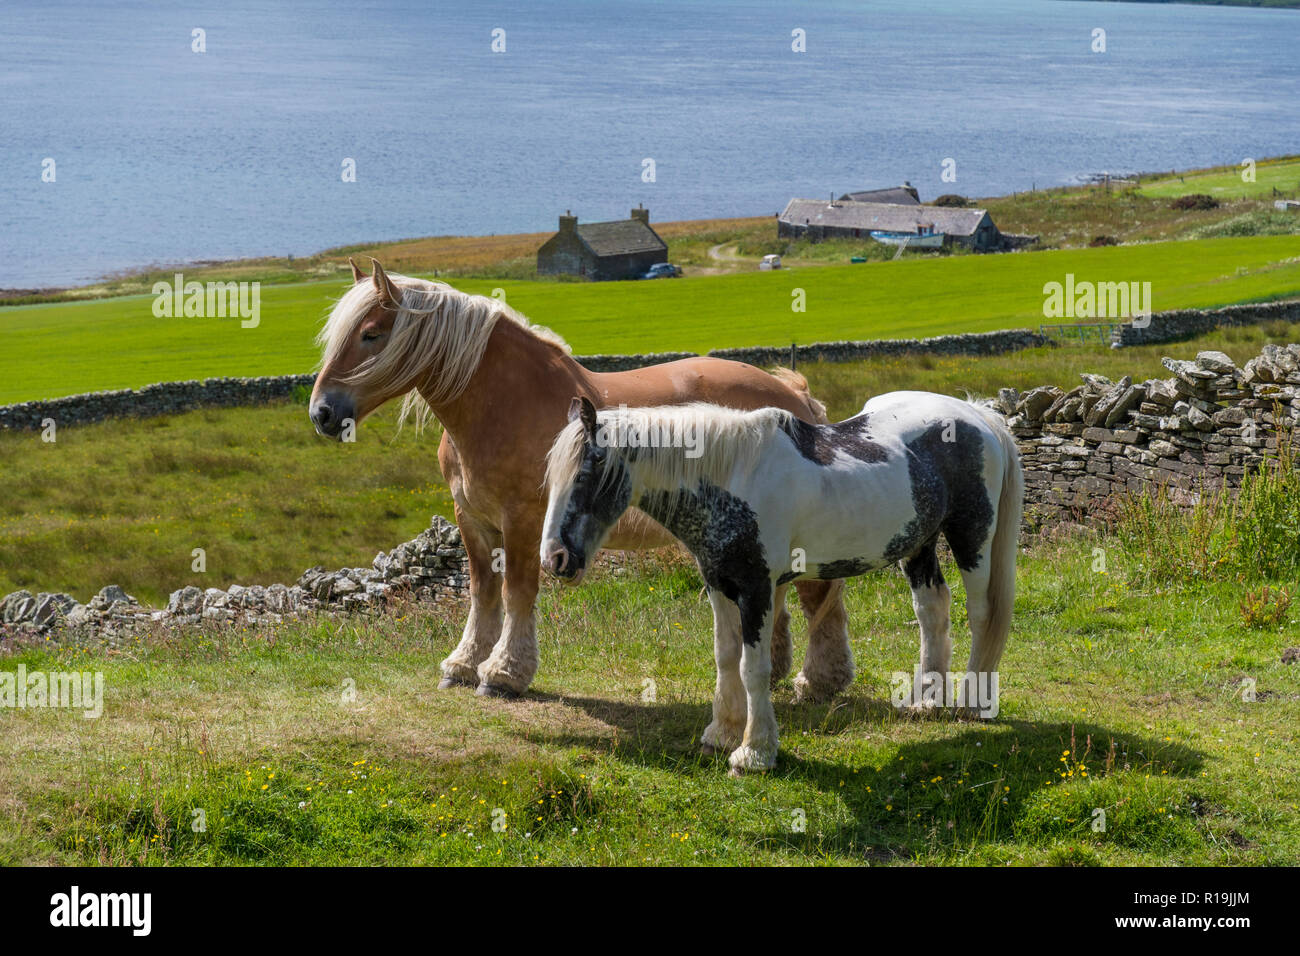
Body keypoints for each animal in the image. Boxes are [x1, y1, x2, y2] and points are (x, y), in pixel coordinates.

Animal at [309, 258, 853, 700]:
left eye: (372, 333)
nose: (322, 413)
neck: (503, 402)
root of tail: (794, 396)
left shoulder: (524, 521)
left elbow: (517, 593)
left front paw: (503, 674)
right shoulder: (472, 520)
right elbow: (483, 592)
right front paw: (462, 665)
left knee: (816, 597)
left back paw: (819, 680)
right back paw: (776, 671)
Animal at [541, 393, 1024, 772]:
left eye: (585, 474)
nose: (554, 559)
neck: (730, 480)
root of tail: (979, 415)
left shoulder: (757, 588)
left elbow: (753, 668)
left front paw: (754, 752)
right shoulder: (719, 585)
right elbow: (724, 658)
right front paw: (721, 733)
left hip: (972, 538)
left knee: (981, 616)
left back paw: (975, 703)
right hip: (918, 544)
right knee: (932, 610)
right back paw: (927, 699)